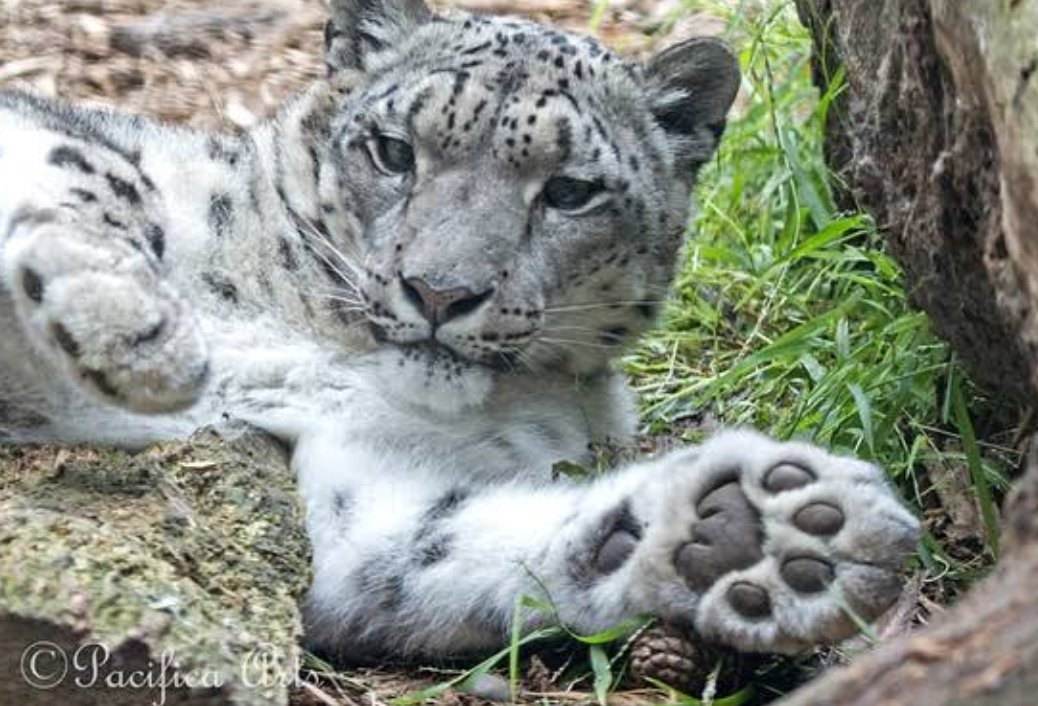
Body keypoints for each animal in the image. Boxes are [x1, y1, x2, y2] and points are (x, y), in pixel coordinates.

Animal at [0, 0, 919, 662]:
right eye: (392, 151)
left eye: (570, 191)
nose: (440, 293)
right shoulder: (77, 142)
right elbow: (92, 165)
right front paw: (136, 331)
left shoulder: (369, 498)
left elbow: (446, 545)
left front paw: (760, 533)